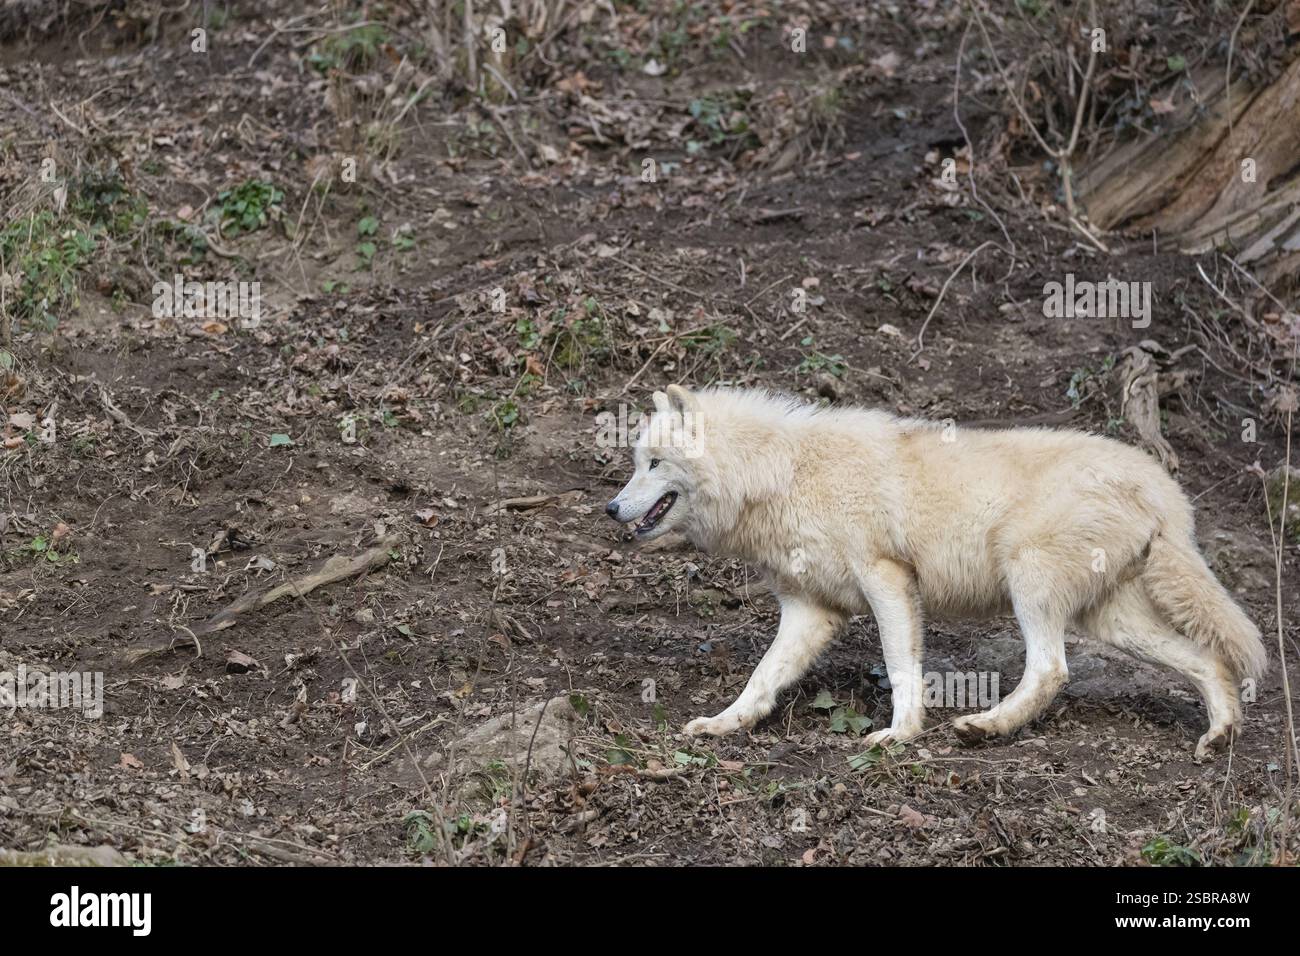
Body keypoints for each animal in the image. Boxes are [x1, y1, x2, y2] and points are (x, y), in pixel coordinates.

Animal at [605, 385, 1266, 759]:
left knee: (1052, 670)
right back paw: (1219, 736)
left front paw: (901, 736)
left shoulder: (888, 579)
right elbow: (761, 680)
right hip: (1112, 622)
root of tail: (1163, 487)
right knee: (1208, 660)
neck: (781, 473)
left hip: (1031, 585)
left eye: (653, 463)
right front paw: (723, 725)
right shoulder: (810, 611)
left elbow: (901, 667)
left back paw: (984, 728)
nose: (611, 508)